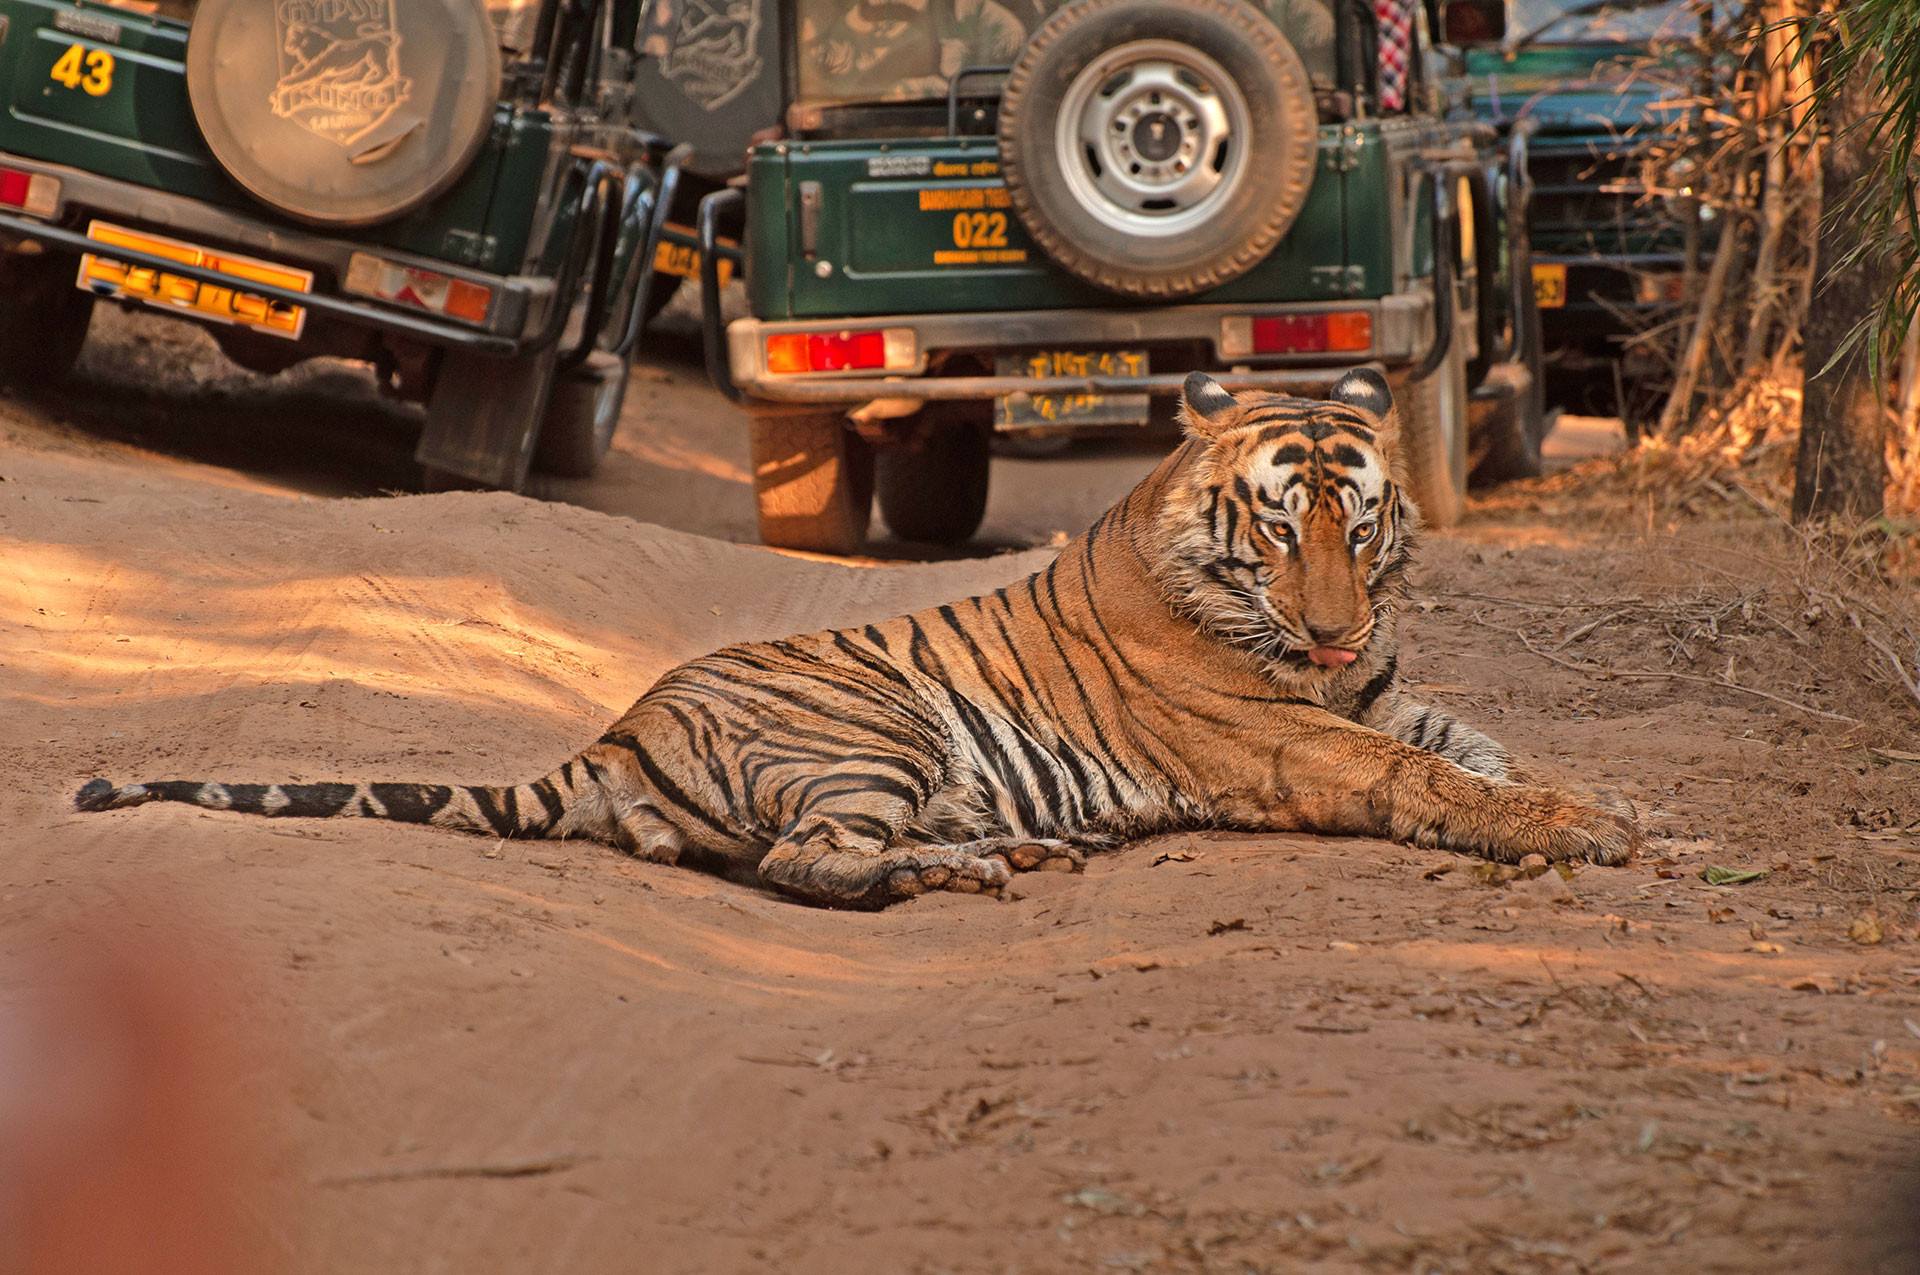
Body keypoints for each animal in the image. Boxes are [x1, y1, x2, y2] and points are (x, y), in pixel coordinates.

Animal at [75, 369, 1638, 908]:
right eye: (1277, 525)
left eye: (1358, 528)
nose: (1329, 625)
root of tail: (611, 732)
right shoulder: (1284, 735)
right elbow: (1430, 780)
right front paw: (1583, 826)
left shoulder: (1375, 695)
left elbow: (1477, 745)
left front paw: (1602, 802)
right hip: (875, 729)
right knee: (800, 863)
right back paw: (964, 870)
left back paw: (1005, 851)